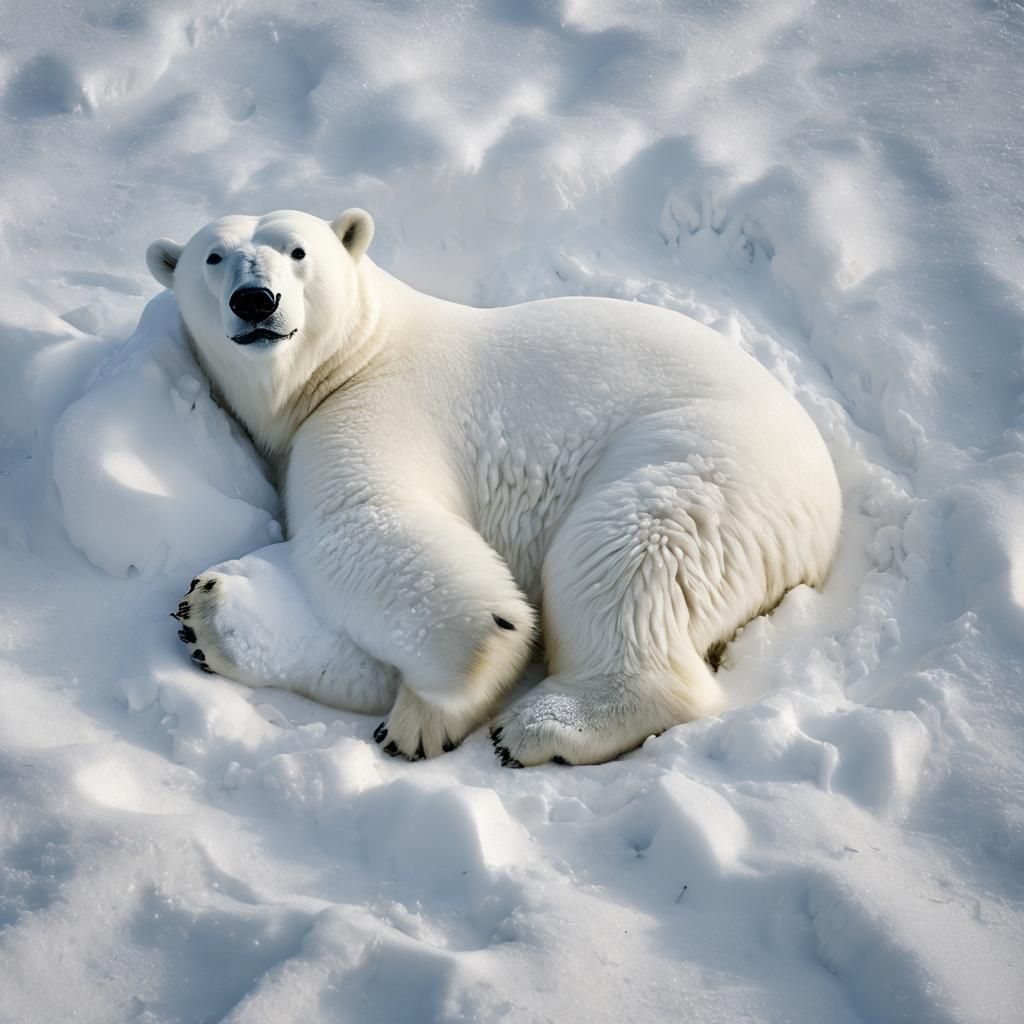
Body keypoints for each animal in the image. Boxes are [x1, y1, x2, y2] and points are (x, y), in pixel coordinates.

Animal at [147, 208, 841, 766]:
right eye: (213, 257)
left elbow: (362, 513)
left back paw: (544, 725)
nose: (255, 301)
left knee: (629, 552)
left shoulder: (379, 403)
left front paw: (466, 670)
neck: (357, 353)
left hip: (708, 462)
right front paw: (213, 615)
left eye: (298, 251)